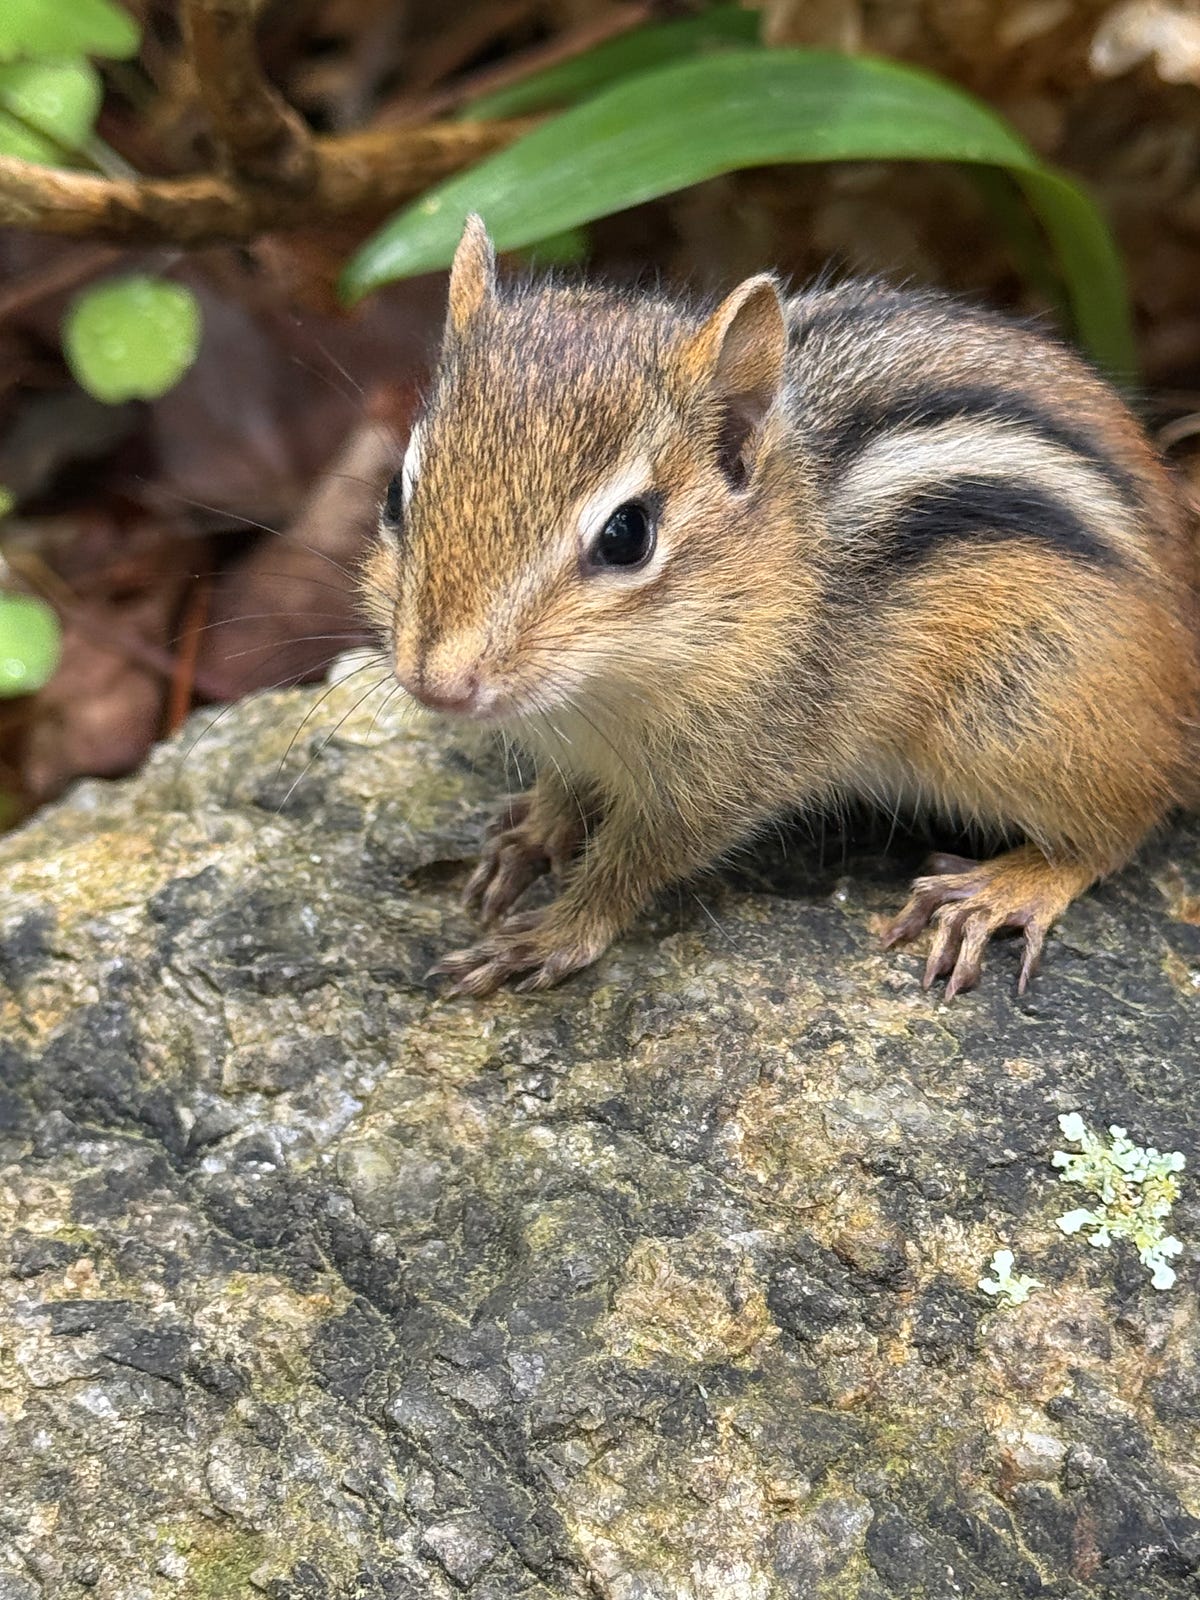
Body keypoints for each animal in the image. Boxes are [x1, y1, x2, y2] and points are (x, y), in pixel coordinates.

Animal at [360, 215, 1200, 999]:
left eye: (627, 535)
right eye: (395, 494)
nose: (438, 684)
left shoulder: (732, 772)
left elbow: (635, 864)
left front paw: (554, 933)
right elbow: (563, 792)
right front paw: (530, 833)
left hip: (1026, 721)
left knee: (1119, 827)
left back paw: (1003, 890)